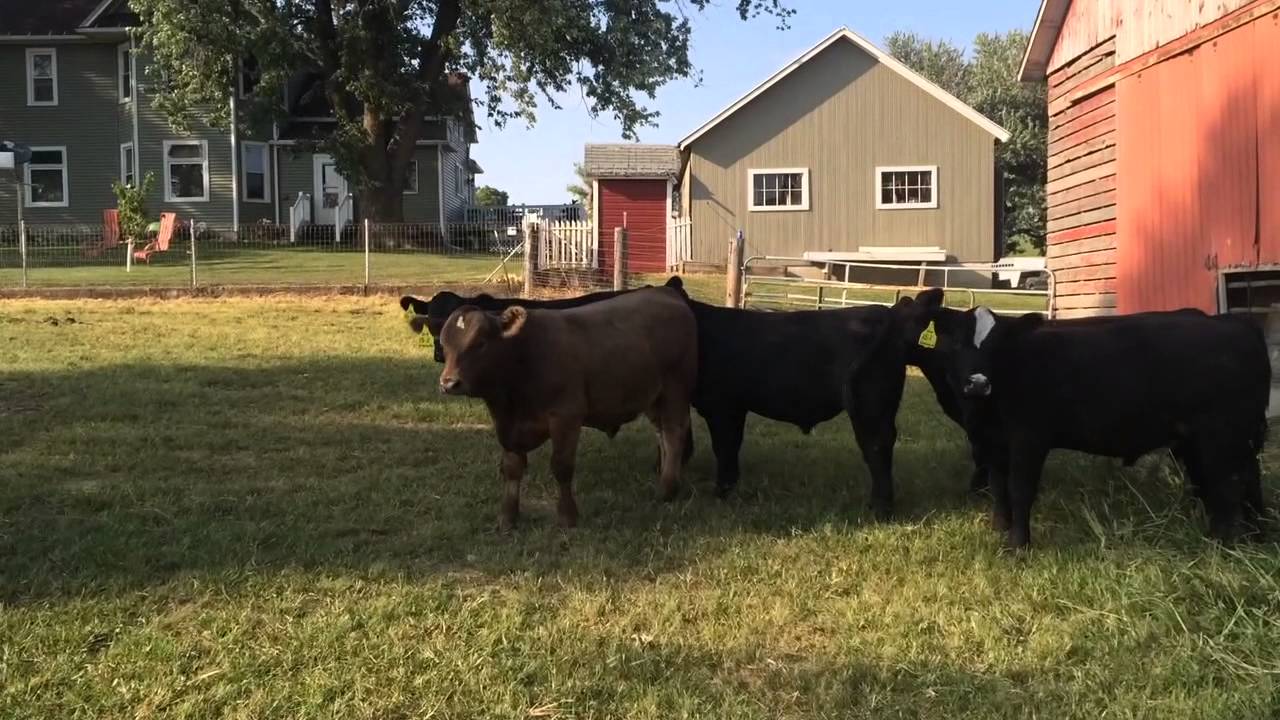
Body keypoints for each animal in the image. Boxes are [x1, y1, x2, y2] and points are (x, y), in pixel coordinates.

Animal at [407, 286, 698, 530]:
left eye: (480, 343)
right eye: (444, 343)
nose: (449, 383)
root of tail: (665, 292)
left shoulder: (566, 417)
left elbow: (561, 466)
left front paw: (568, 517)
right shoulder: (507, 424)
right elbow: (512, 468)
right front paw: (508, 517)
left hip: (674, 389)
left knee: (674, 432)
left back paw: (667, 489)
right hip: (653, 396)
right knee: (662, 433)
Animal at [905, 288, 1270, 548]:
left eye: (997, 347)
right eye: (954, 344)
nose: (978, 383)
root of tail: (1233, 323)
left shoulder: (1029, 439)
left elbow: (1020, 488)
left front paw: (1018, 546)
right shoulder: (992, 442)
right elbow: (998, 487)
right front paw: (1000, 530)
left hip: (1221, 436)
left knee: (1230, 482)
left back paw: (1224, 543)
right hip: (1212, 438)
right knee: (1244, 479)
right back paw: (1256, 535)